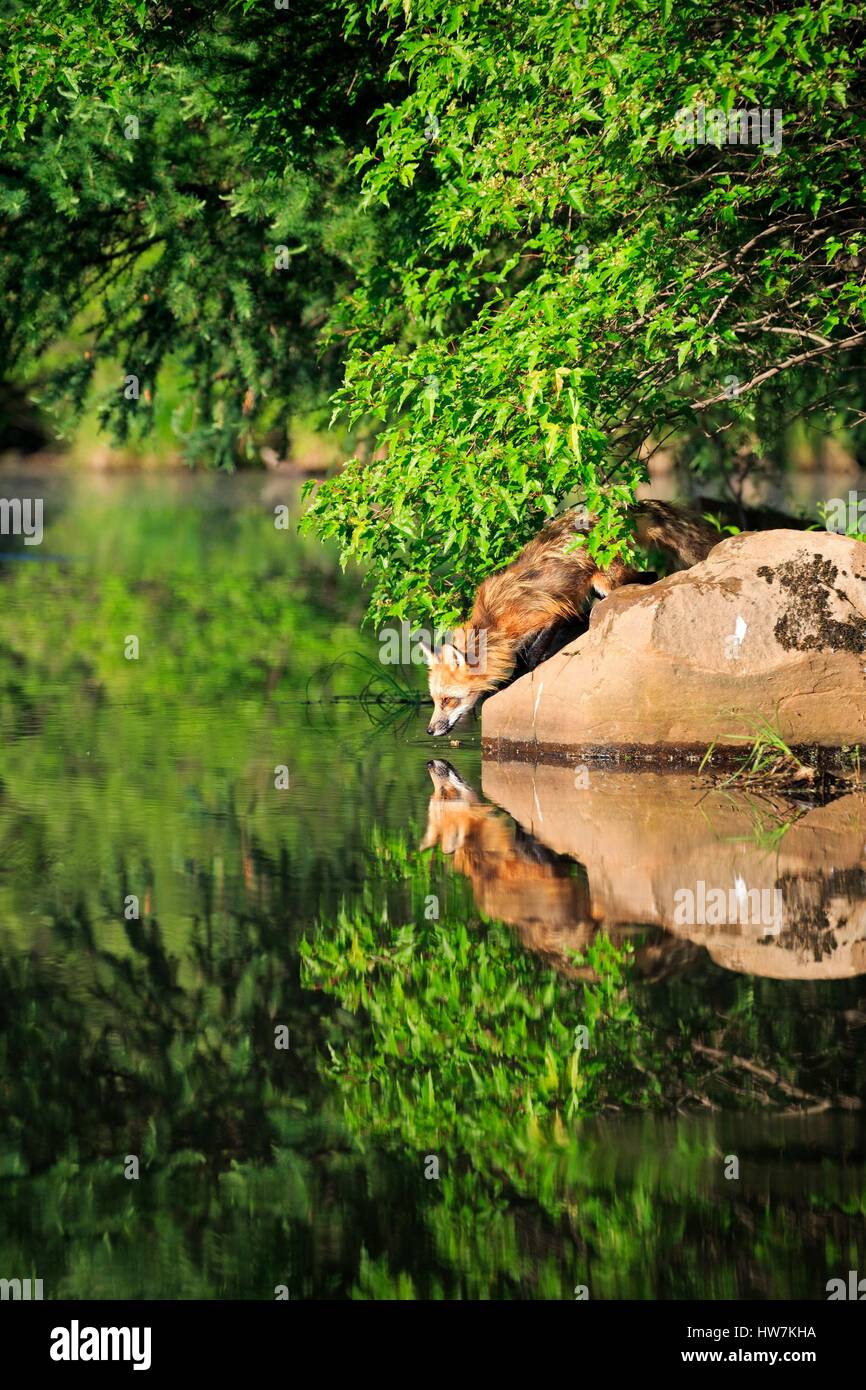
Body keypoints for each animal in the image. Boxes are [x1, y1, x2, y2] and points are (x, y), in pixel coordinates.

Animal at [421, 499, 719, 736]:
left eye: (448, 700)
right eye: (434, 700)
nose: (429, 731)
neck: (495, 621)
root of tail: (610, 507)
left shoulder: (548, 615)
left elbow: (531, 656)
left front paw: (518, 677)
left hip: (608, 579)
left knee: (649, 576)